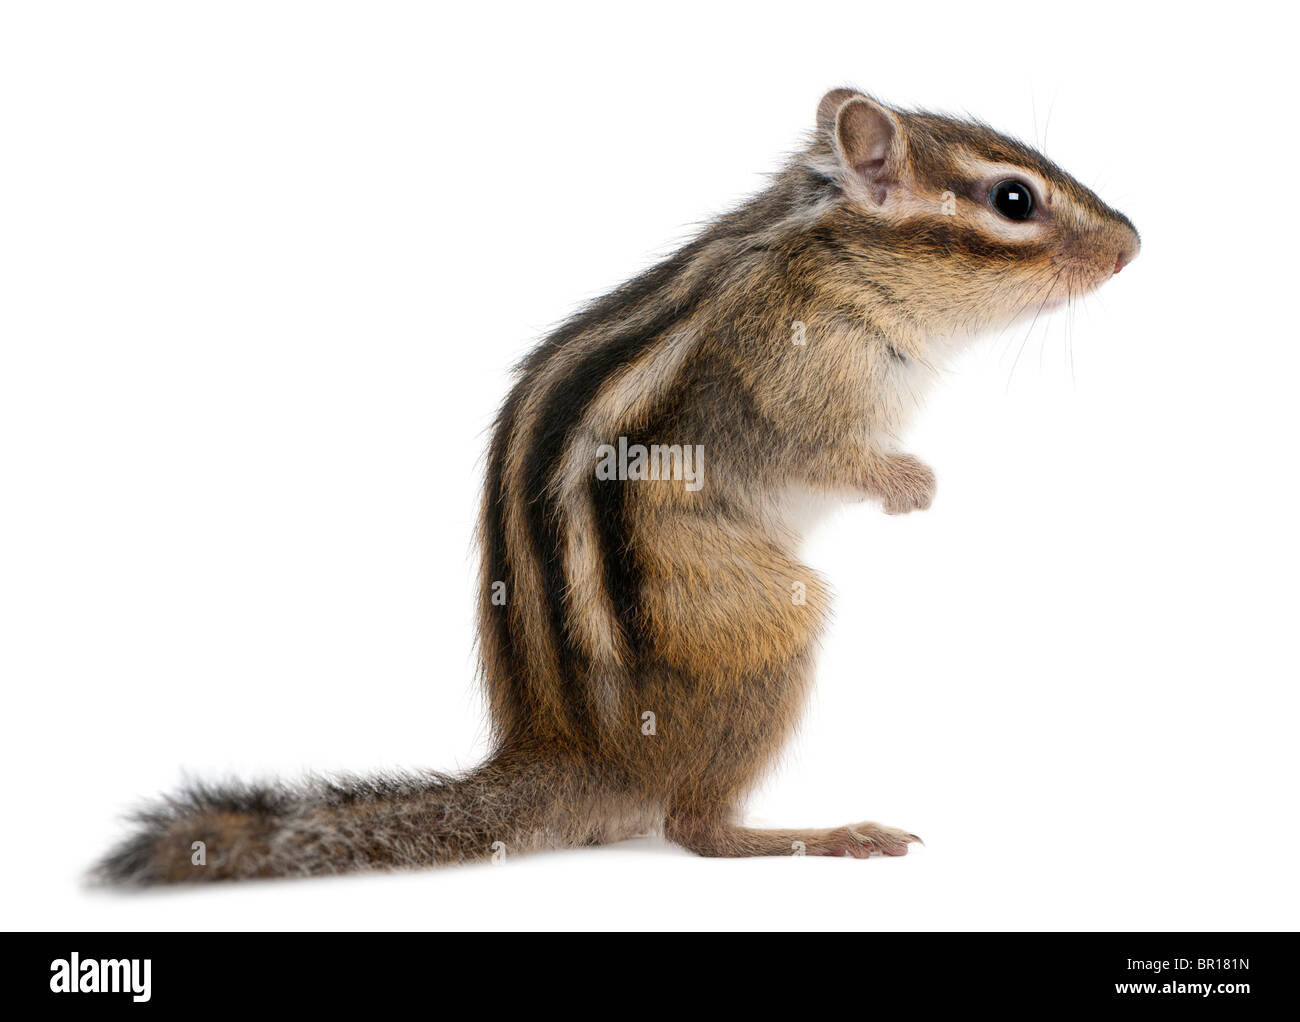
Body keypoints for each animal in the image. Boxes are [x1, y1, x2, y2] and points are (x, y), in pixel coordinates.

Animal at [96, 88, 1138, 883]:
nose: (1132, 244)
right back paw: (823, 834)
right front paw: (911, 484)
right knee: (695, 829)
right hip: (767, 623)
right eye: (1013, 198)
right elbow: (817, 455)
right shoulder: (783, 383)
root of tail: (573, 752)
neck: (830, 255)